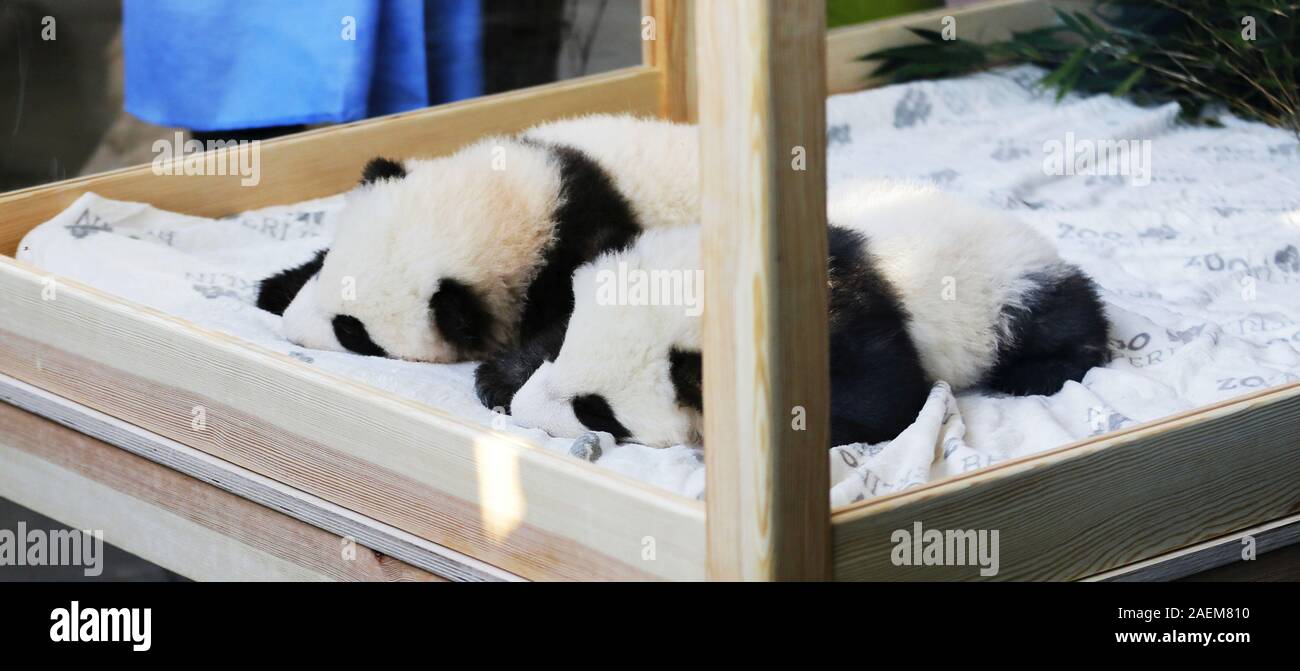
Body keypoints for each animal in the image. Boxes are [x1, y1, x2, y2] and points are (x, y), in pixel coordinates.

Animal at [255, 114, 699, 369]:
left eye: (350, 329)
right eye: (325, 270)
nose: (290, 328)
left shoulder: (587, 250)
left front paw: (501, 380)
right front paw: (275, 287)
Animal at [492, 180, 1111, 448]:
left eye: (596, 411)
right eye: (560, 350)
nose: (522, 413)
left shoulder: (845, 320)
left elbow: (886, 394)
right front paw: (500, 379)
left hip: (1002, 294)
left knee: (1058, 320)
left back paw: (1042, 366)